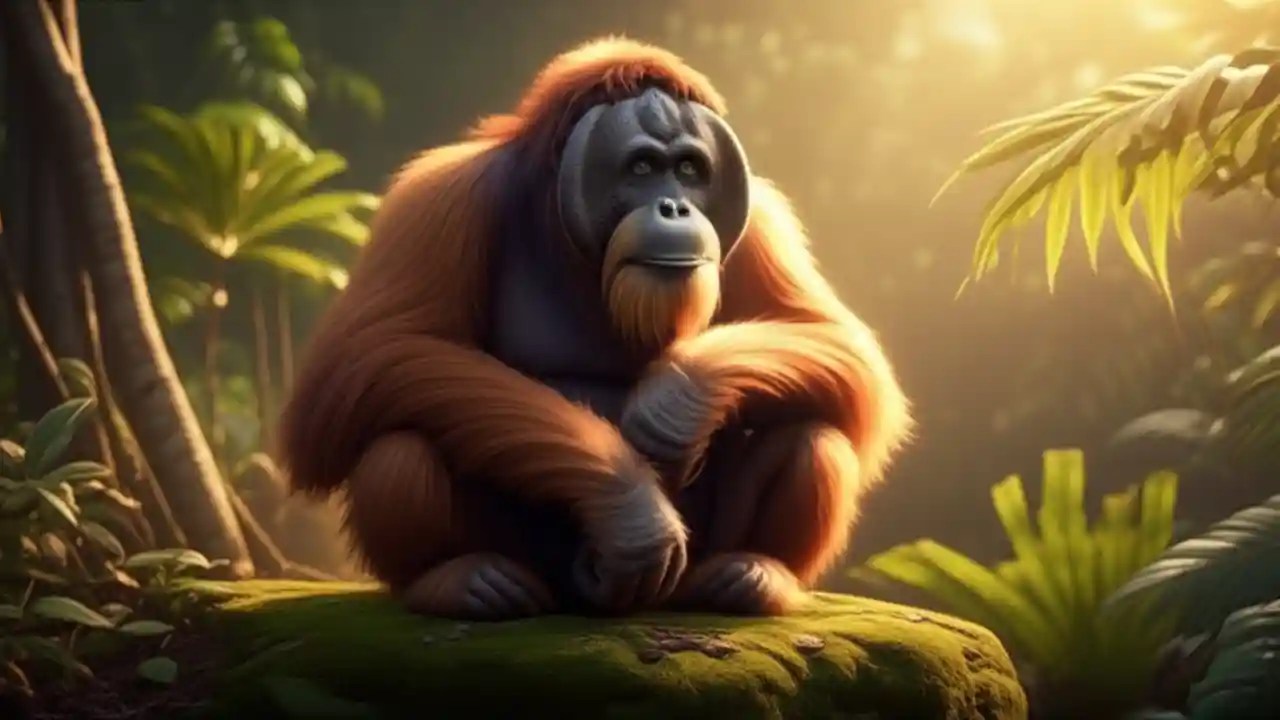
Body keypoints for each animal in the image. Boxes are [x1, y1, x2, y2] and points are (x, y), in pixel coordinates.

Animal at [279, 37, 912, 621]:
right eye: (641, 167)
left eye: (688, 169)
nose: (676, 208)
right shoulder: (442, 198)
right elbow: (364, 358)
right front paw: (631, 513)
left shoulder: (761, 221)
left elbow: (838, 344)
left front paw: (676, 403)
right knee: (398, 441)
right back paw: (457, 581)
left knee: (814, 433)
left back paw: (753, 574)